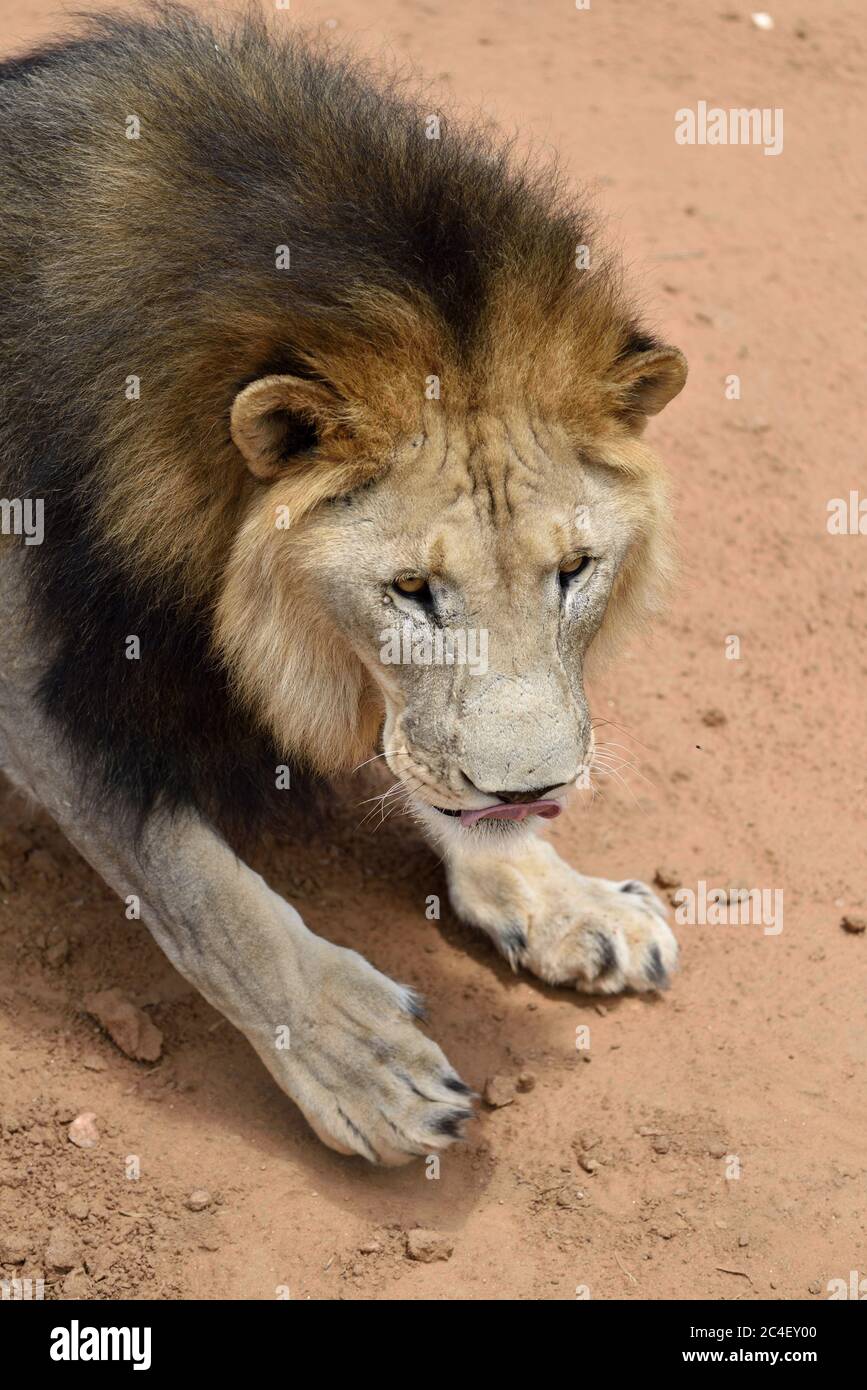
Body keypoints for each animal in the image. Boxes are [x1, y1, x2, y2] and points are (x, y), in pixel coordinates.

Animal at [0, 5, 686, 1163]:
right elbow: (200, 887)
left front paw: (561, 898)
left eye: (574, 571)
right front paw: (361, 1064)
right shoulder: (41, 682)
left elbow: (436, 766)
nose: (533, 792)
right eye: (410, 590)